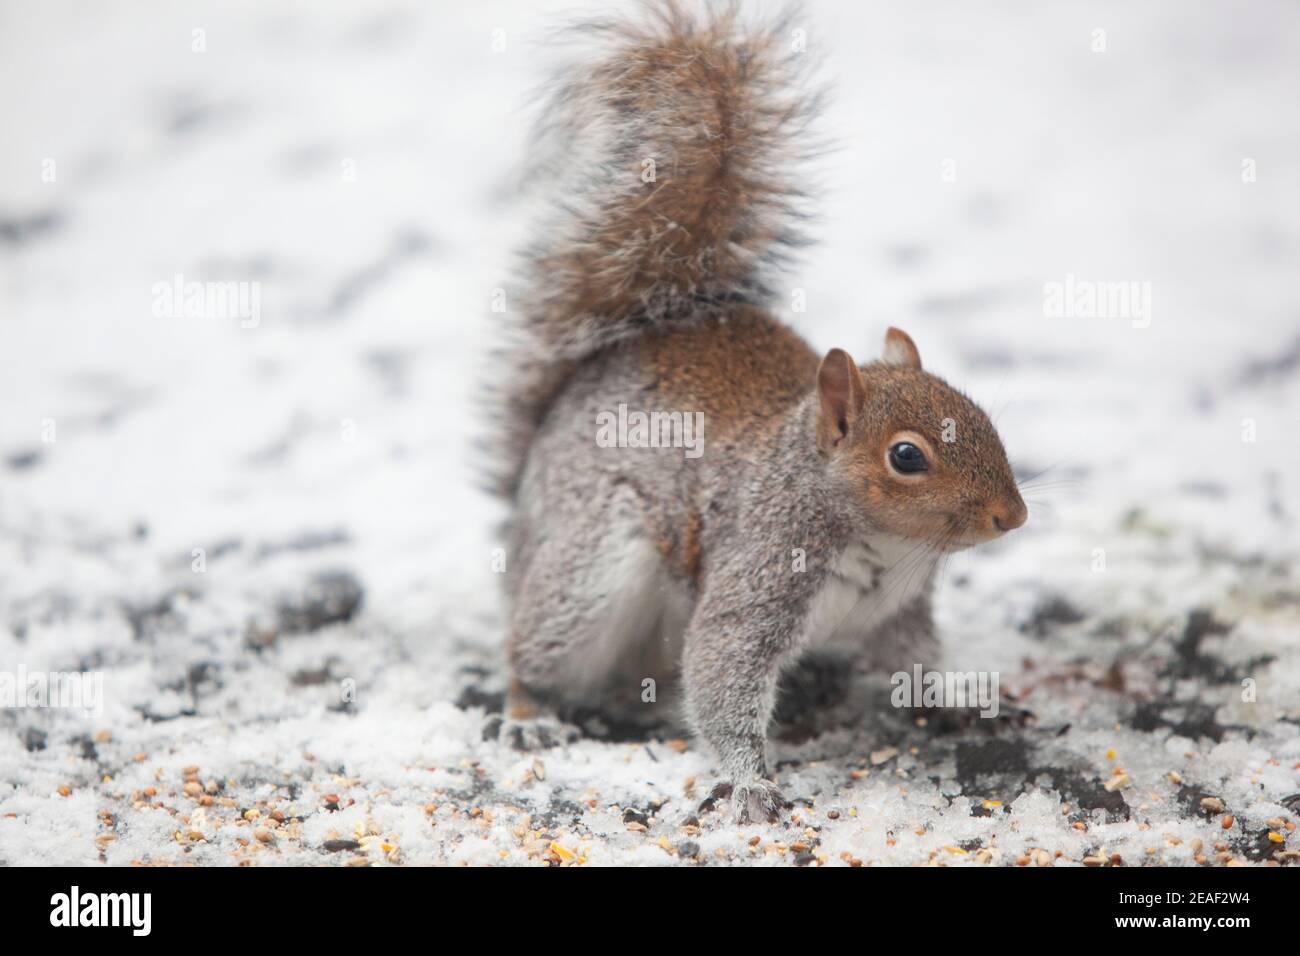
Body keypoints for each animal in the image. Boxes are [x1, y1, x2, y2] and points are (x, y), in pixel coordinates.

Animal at [485, 1, 1027, 823]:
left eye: (983, 415)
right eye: (906, 456)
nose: (1013, 516)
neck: (885, 546)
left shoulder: (900, 614)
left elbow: (917, 664)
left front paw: (959, 704)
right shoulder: (759, 571)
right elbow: (721, 667)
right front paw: (750, 783)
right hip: (583, 570)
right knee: (532, 645)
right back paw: (528, 714)